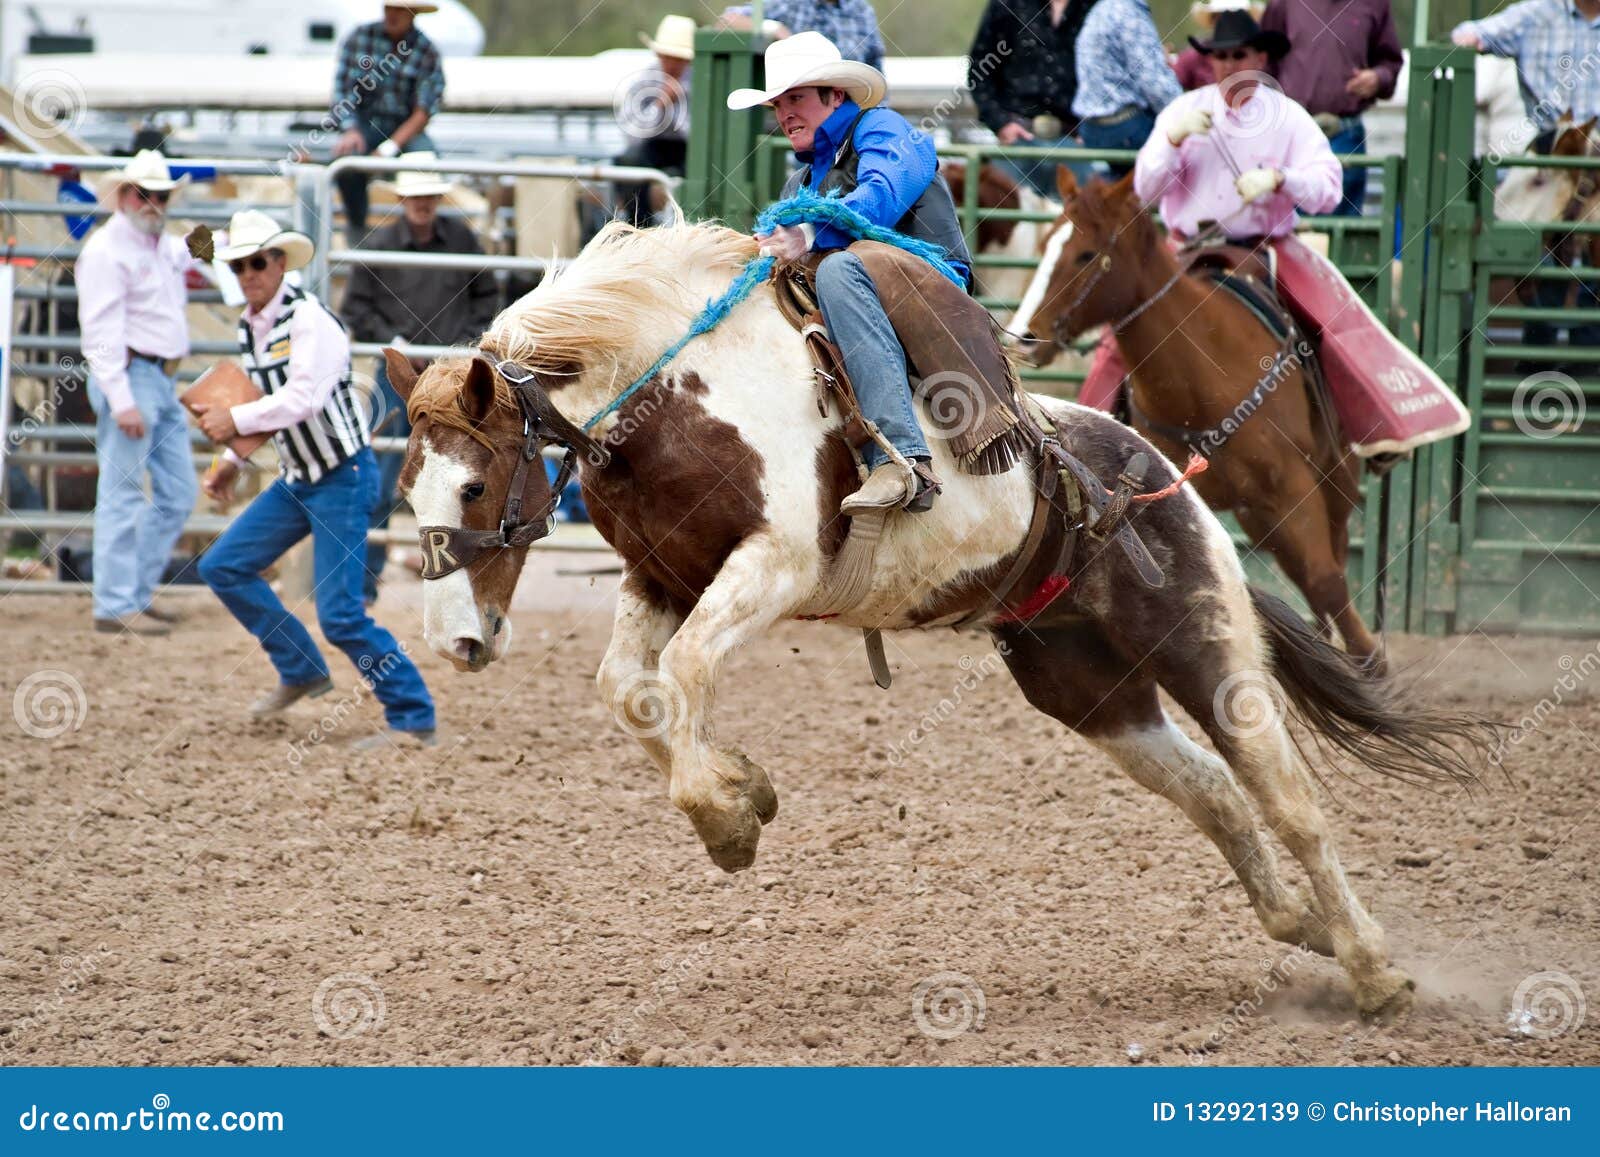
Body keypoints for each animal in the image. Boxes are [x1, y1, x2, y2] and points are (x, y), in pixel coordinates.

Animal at [1009, 167, 1382, 667]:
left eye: (1087, 253)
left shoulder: (1292, 488)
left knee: (1330, 562)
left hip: (1333, 481)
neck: (1199, 383)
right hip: (1256, 515)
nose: (1025, 338)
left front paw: (1368, 660)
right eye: (1047, 242)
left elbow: (1326, 581)